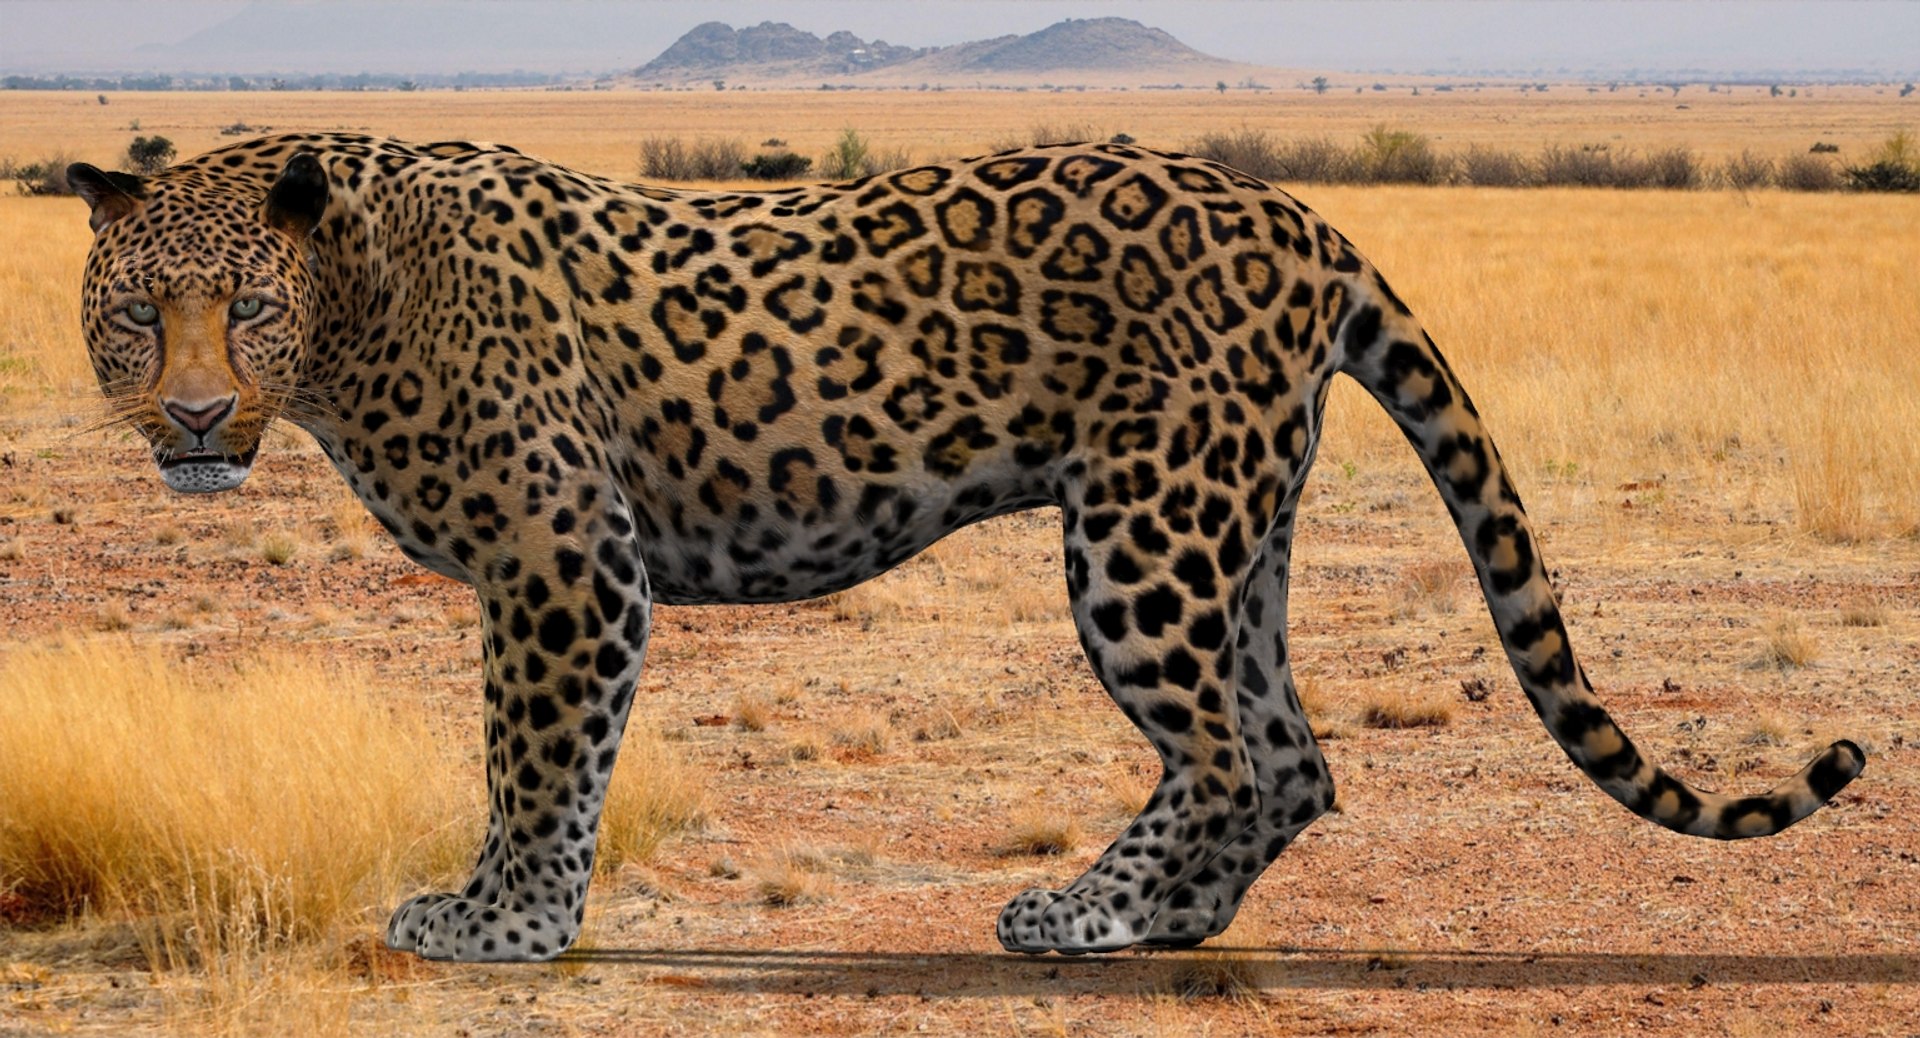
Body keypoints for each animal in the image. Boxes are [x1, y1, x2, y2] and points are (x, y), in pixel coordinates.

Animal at [67, 132, 1865, 963]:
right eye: (134, 313)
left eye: (246, 307)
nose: (197, 417)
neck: (355, 297)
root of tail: (1299, 215)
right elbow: (532, 757)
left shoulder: (566, 557)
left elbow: (536, 758)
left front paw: (502, 925)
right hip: (1236, 521)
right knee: (1289, 746)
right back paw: (1165, 916)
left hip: (1146, 532)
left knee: (1241, 751)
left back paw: (1085, 914)